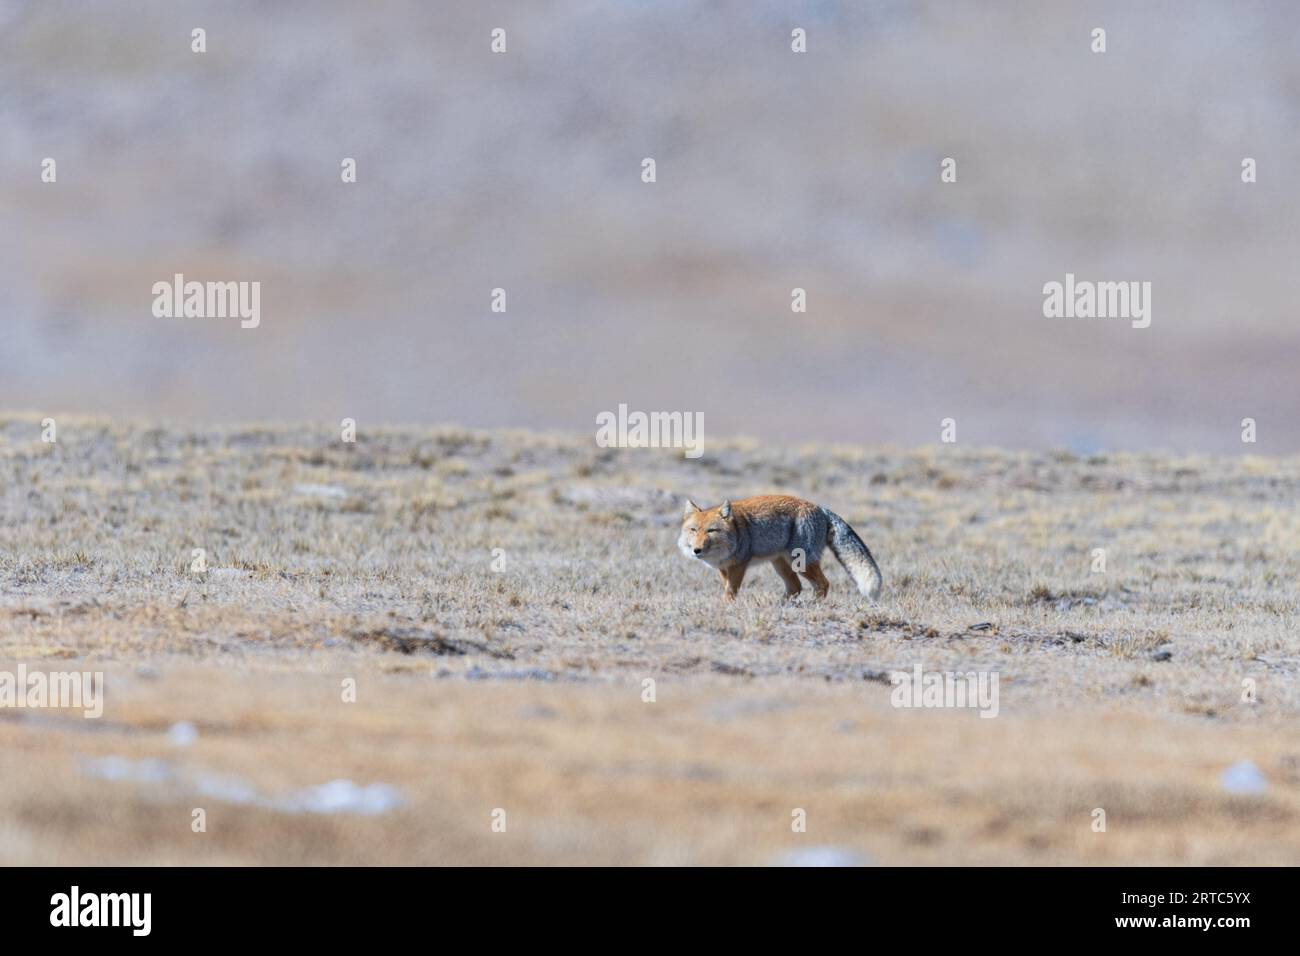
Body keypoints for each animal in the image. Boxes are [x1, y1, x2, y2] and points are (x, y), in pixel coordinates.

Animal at [678, 495, 883, 602]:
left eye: (711, 530)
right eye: (693, 530)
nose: (697, 550)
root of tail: (820, 508)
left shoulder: (739, 566)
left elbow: (731, 591)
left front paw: (727, 606)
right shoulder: (723, 568)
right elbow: (726, 588)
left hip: (801, 563)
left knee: (822, 584)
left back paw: (812, 605)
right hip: (781, 564)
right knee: (796, 587)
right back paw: (782, 605)